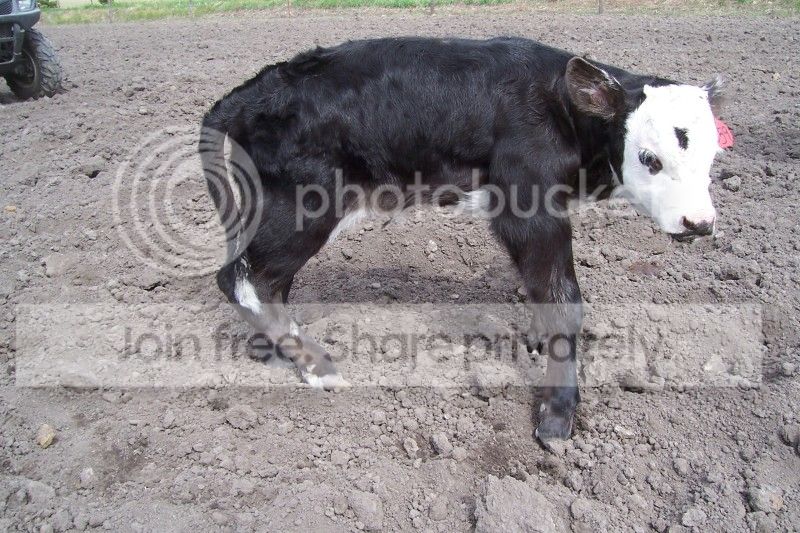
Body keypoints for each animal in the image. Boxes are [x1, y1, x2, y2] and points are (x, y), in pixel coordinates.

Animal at [200, 36, 725, 444]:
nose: (699, 223)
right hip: (302, 206)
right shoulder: (529, 209)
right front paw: (558, 416)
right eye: (650, 158)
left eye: (712, 154)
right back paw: (316, 367)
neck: (561, 114)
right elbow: (564, 302)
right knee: (240, 279)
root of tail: (246, 95)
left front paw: (537, 343)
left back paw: (275, 351)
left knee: (268, 281)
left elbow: (540, 290)